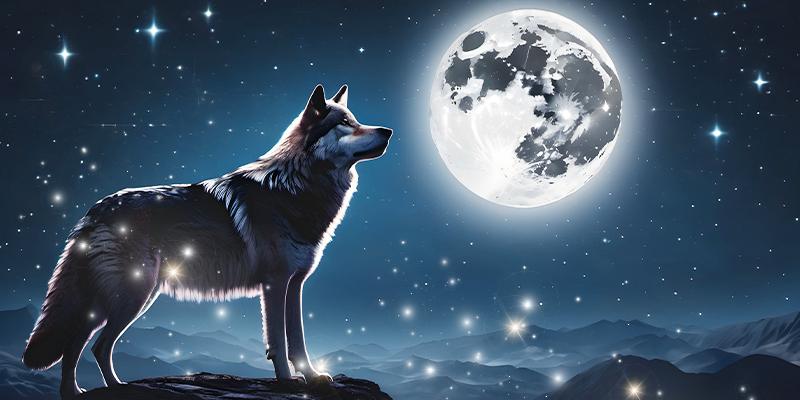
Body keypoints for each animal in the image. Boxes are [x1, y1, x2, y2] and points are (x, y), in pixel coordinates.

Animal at [22, 84, 392, 398]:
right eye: (345, 124)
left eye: (355, 121)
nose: (388, 131)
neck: (295, 186)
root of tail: (95, 210)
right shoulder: (274, 284)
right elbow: (279, 341)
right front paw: (287, 382)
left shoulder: (295, 284)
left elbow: (297, 339)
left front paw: (313, 377)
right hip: (129, 296)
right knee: (84, 344)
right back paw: (86, 391)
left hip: (131, 298)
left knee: (90, 345)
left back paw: (106, 388)